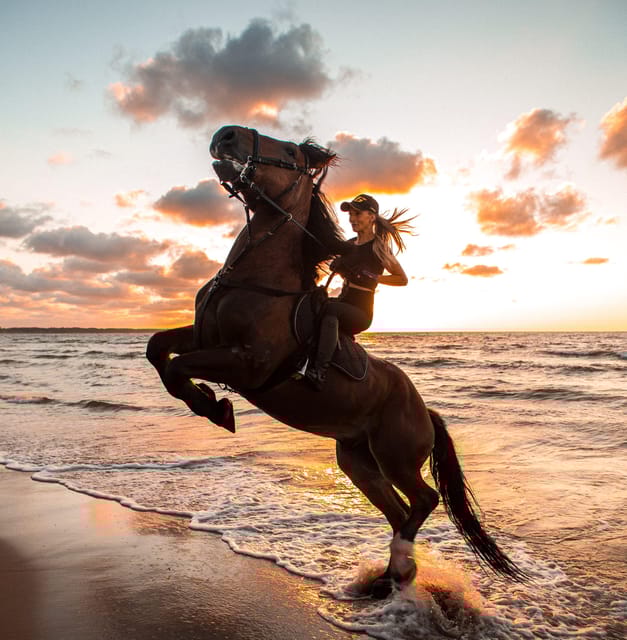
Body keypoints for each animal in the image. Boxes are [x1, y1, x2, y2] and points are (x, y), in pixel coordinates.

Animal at [146, 125, 526, 597]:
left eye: (290, 152)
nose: (226, 135)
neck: (256, 280)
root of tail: (425, 411)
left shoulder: (248, 363)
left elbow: (177, 366)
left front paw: (215, 407)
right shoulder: (204, 338)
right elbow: (158, 350)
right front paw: (208, 400)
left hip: (395, 457)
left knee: (423, 500)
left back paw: (396, 570)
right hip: (357, 460)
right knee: (399, 511)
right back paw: (389, 577)